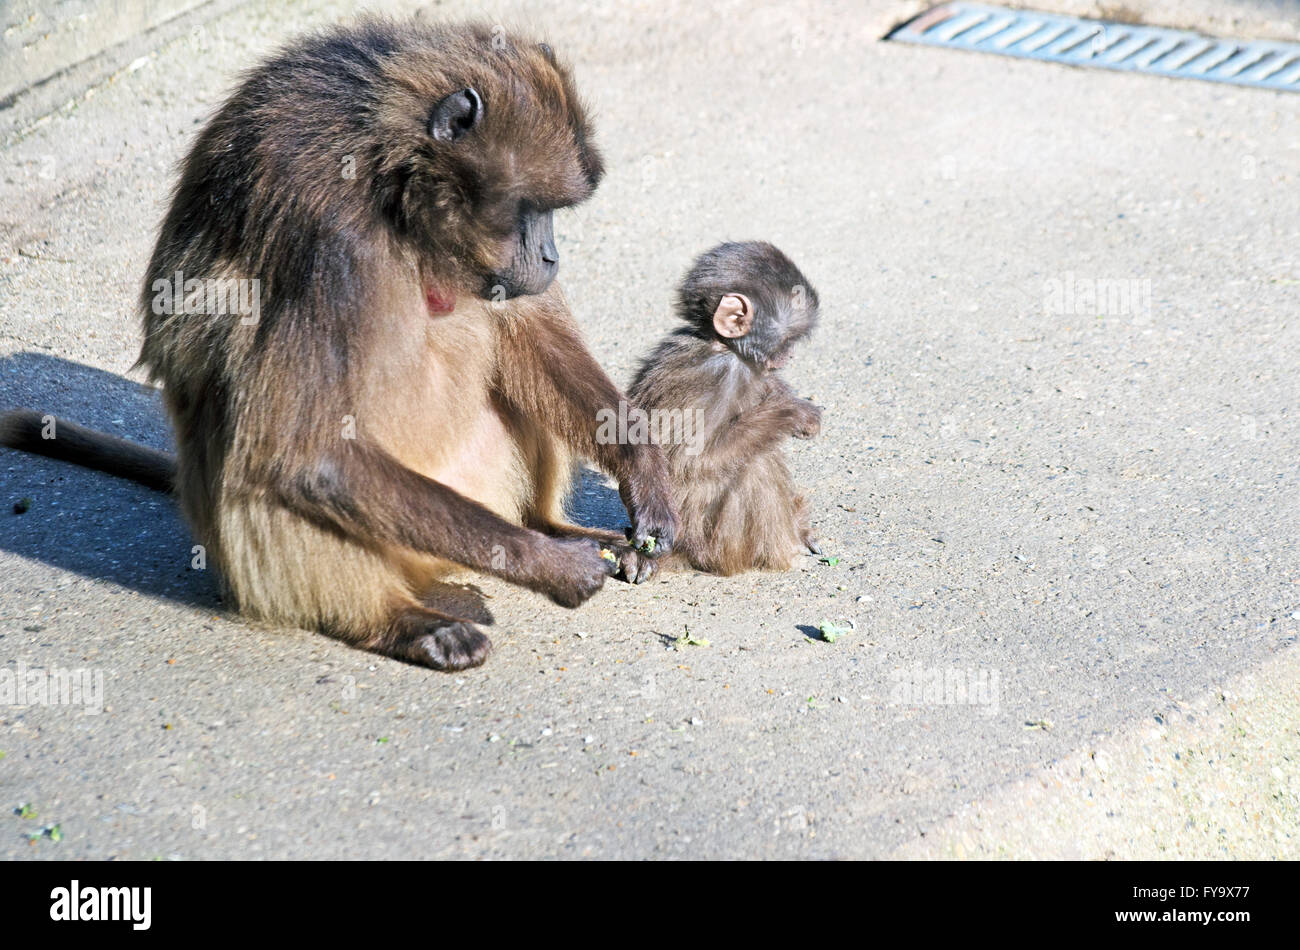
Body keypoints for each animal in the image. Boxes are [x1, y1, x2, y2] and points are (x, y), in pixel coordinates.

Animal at [0, 18, 679, 671]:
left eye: (554, 212)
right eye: (532, 209)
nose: (551, 255)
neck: (391, 190)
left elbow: (528, 330)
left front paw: (644, 477)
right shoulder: (326, 237)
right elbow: (306, 454)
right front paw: (551, 568)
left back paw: (548, 527)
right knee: (262, 445)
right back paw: (401, 620)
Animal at [626, 241, 822, 576]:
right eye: (788, 340)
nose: (790, 356)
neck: (719, 344)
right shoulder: (721, 374)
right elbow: (693, 460)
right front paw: (793, 413)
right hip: (705, 539)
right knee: (755, 464)